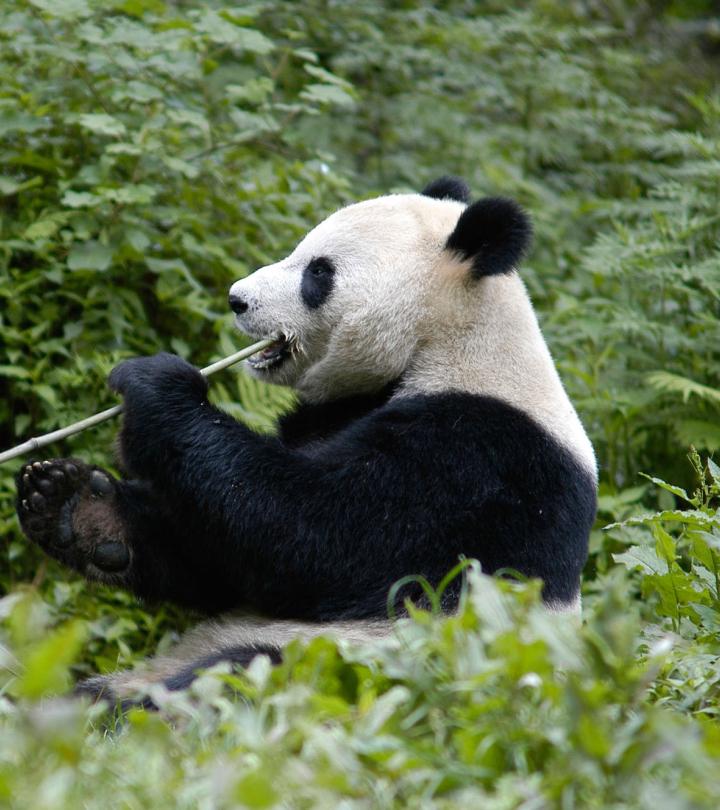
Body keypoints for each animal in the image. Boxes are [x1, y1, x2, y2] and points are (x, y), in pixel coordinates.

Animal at [15, 176, 597, 702]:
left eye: (319, 272)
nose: (237, 300)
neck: (448, 342)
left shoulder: (480, 459)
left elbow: (318, 536)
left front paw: (155, 387)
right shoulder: (333, 412)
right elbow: (222, 556)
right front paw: (72, 503)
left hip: (358, 664)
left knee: (238, 677)